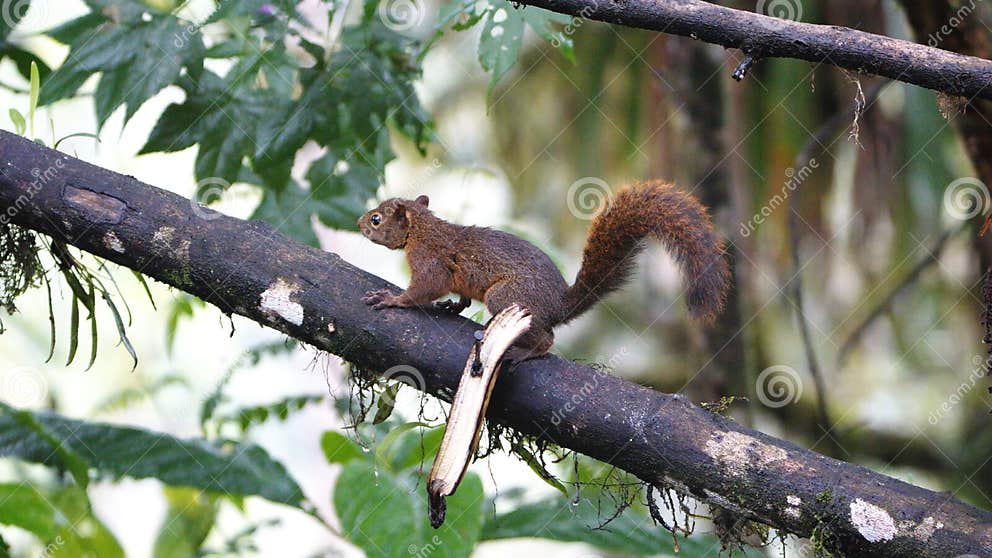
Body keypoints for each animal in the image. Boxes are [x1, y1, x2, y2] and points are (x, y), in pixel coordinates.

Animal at [358, 180, 731, 360]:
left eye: (376, 219)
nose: (359, 223)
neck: (421, 229)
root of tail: (558, 306)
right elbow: (459, 296)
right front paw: (452, 306)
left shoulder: (430, 259)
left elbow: (424, 287)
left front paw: (392, 299)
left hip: (505, 297)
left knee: (547, 339)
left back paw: (526, 351)